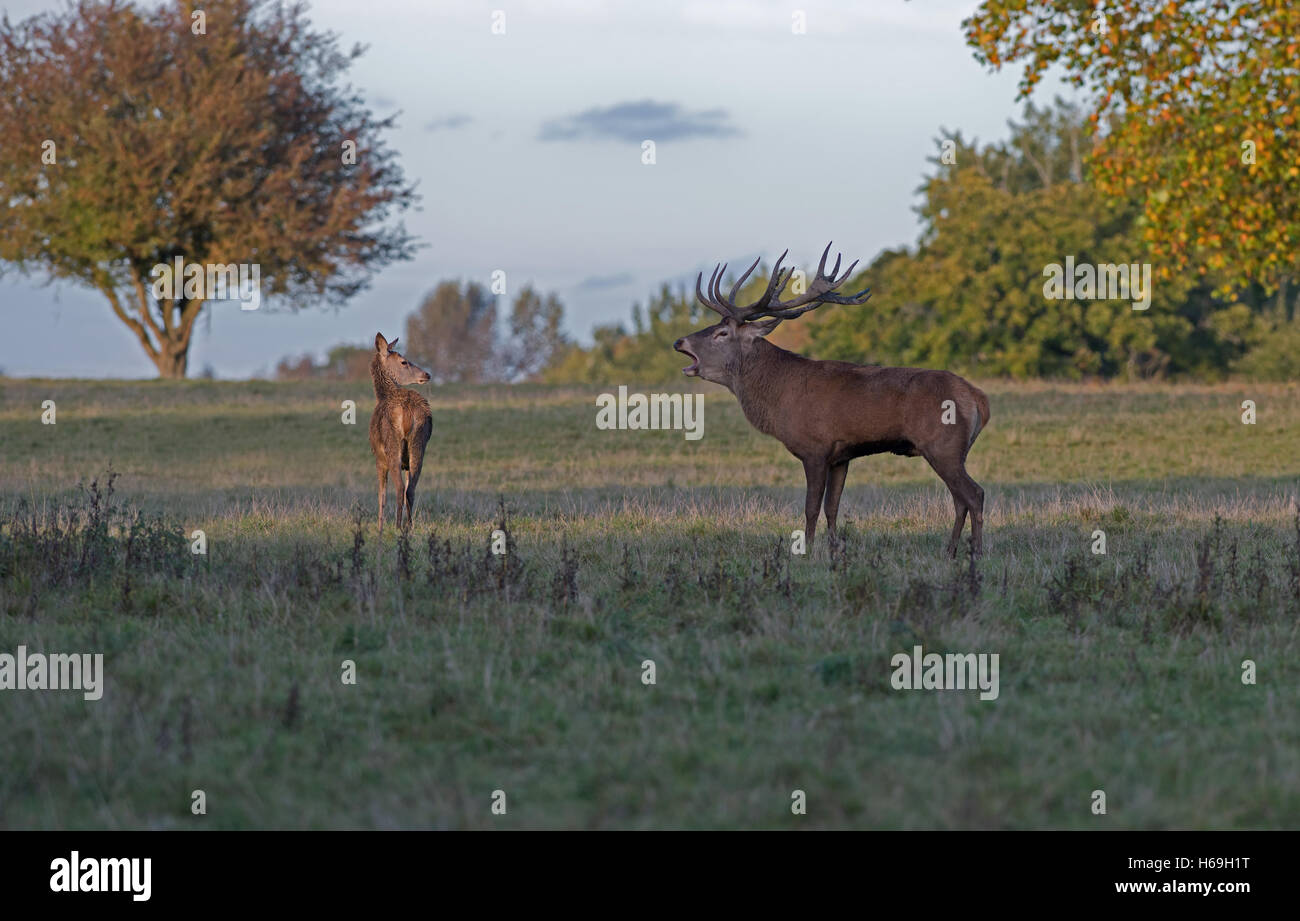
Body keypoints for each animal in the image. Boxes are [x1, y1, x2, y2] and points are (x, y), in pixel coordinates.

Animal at [369, 332, 433, 534]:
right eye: (404, 362)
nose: (427, 374)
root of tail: (407, 410)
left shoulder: (378, 457)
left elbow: (381, 495)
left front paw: (379, 527)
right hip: (419, 443)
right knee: (410, 489)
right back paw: (409, 526)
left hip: (391, 444)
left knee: (398, 488)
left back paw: (397, 526)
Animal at [673, 243, 990, 557]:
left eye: (722, 333)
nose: (679, 342)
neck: (779, 395)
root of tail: (978, 399)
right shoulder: (841, 456)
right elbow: (832, 507)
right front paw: (834, 550)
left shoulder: (815, 448)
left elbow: (811, 507)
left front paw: (808, 551)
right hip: (955, 451)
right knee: (960, 499)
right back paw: (950, 551)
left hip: (943, 446)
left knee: (974, 494)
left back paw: (976, 552)